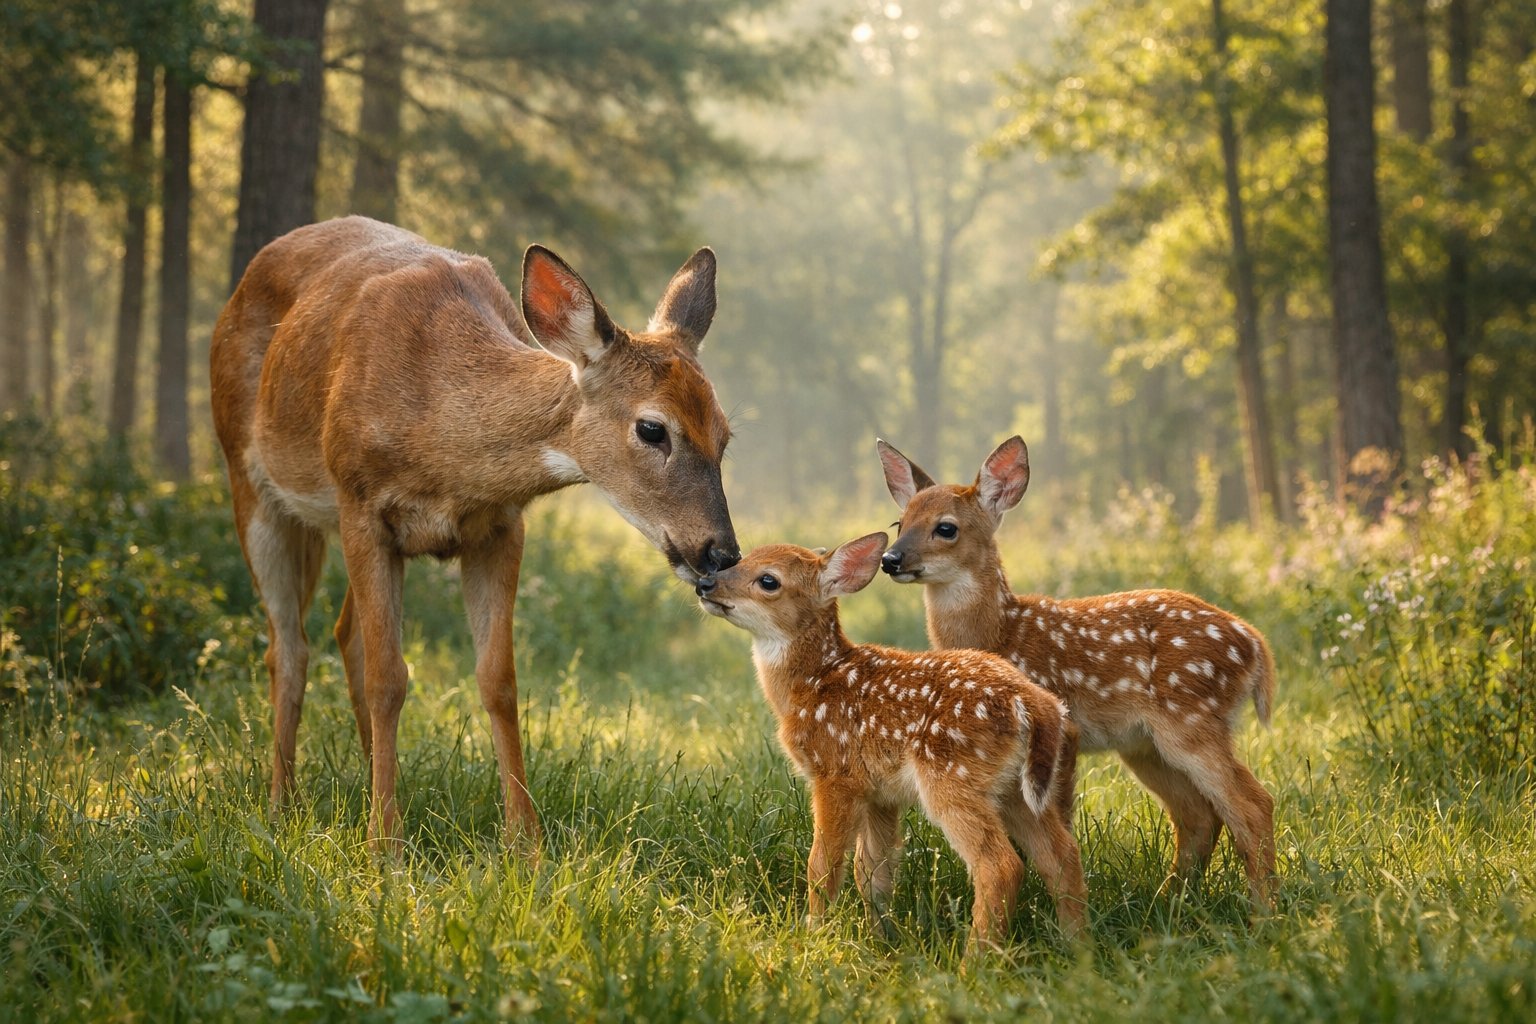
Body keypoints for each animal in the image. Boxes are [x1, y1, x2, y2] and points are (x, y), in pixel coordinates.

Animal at [210, 215, 740, 847]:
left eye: (725, 432)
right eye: (652, 428)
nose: (721, 551)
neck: (441, 437)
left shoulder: (500, 526)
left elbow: (498, 680)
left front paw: (525, 841)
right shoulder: (360, 503)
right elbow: (389, 678)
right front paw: (384, 844)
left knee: (344, 633)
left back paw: (368, 777)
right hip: (253, 483)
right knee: (288, 647)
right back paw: (281, 806)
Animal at [690, 532, 1088, 949]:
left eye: (768, 580)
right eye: (740, 559)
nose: (705, 583)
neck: (811, 686)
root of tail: (1031, 701)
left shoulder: (836, 774)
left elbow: (823, 865)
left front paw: (813, 934)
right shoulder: (880, 794)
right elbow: (872, 873)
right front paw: (880, 940)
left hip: (951, 778)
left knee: (1001, 865)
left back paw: (975, 957)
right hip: (1015, 790)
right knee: (1062, 856)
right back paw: (1077, 948)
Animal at [876, 436, 1278, 911]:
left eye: (946, 528)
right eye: (899, 522)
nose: (890, 559)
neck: (1001, 633)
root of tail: (1254, 642)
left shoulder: (1062, 727)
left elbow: (1059, 822)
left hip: (1191, 719)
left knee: (1253, 804)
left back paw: (1264, 910)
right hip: (1144, 745)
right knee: (1199, 815)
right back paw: (1168, 902)